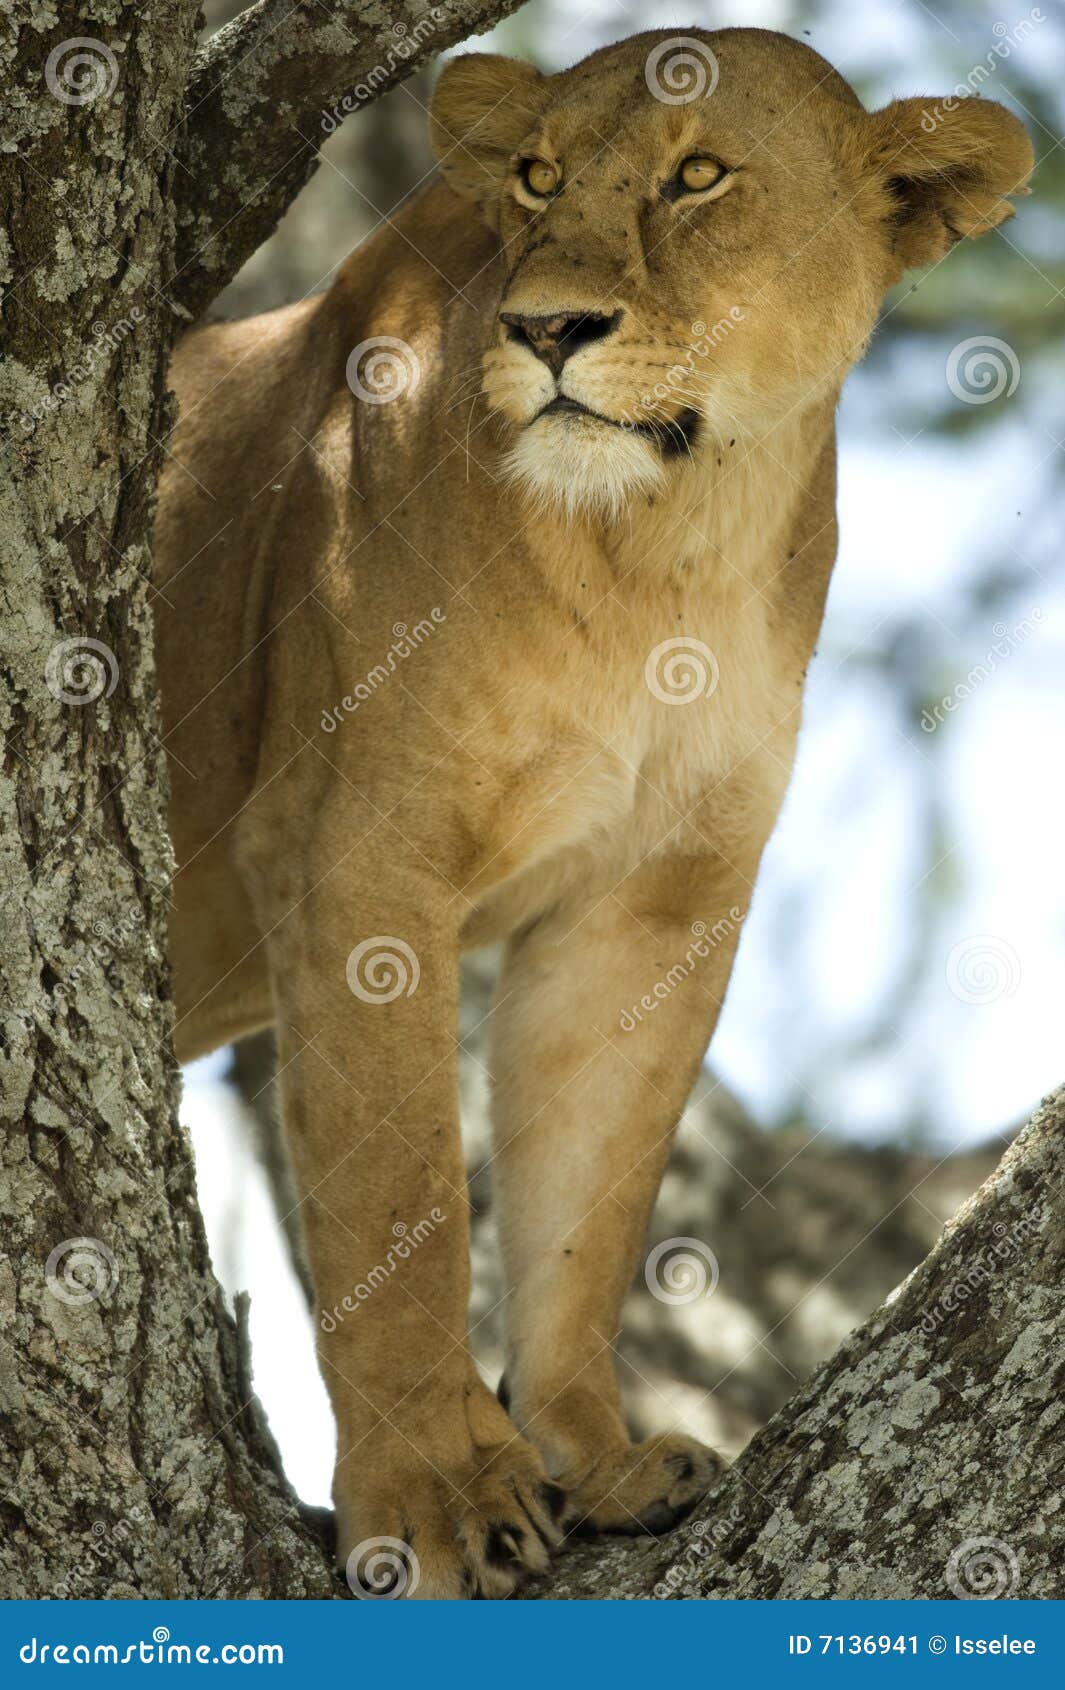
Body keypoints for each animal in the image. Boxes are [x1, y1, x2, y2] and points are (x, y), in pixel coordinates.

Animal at [154, 27, 1031, 1596]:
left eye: (699, 176)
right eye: (535, 178)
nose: (546, 328)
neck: (660, 555)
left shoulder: (650, 902)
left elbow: (589, 1194)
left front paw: (591, 1454)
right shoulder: (351, 856)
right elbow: (400, 1200)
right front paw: (435, 1500)